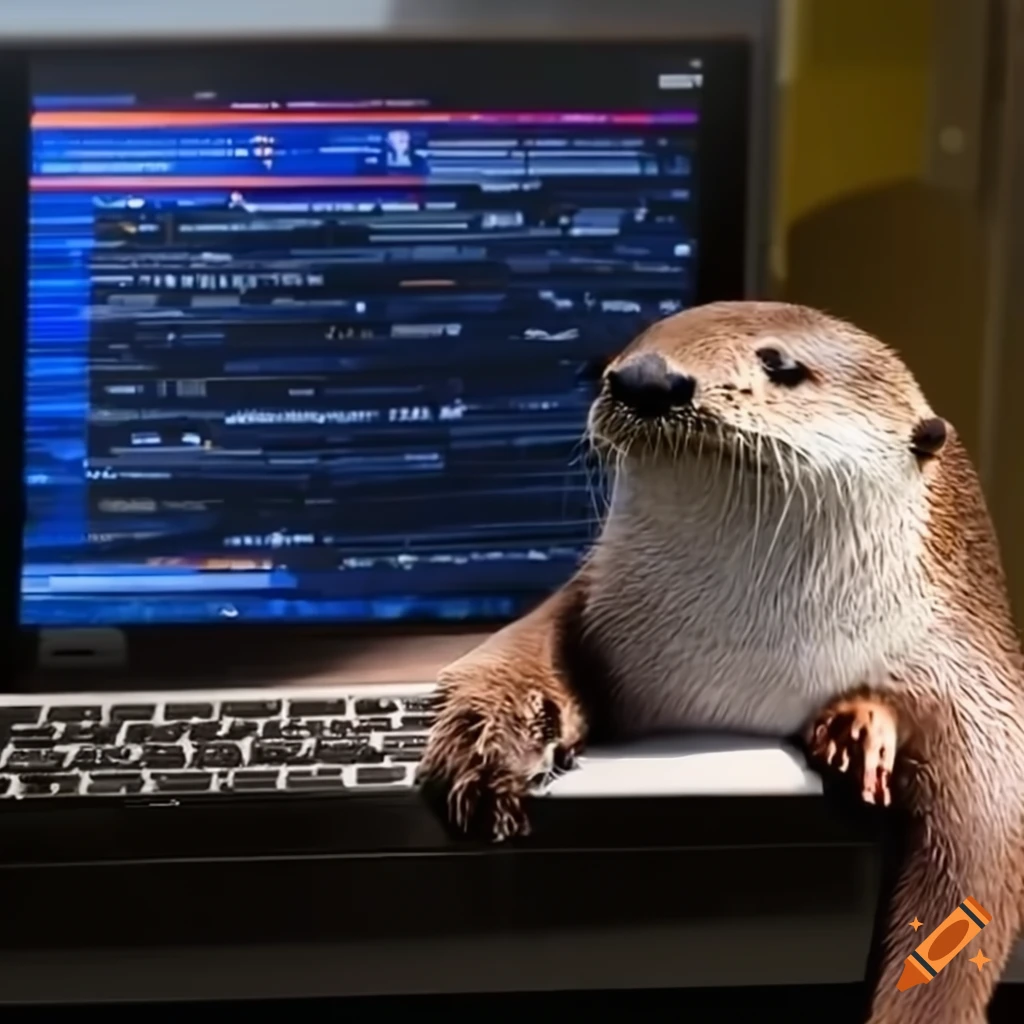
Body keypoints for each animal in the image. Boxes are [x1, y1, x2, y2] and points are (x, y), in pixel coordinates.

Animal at [417, 300, 1024, 1023]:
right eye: (626, 347)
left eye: (782, 364)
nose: (646, 378)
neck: (745, 660)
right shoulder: (586, 603)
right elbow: (511, 661)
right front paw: (487, 755)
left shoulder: (972, 677)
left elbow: (975, 864)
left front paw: (861, 728)